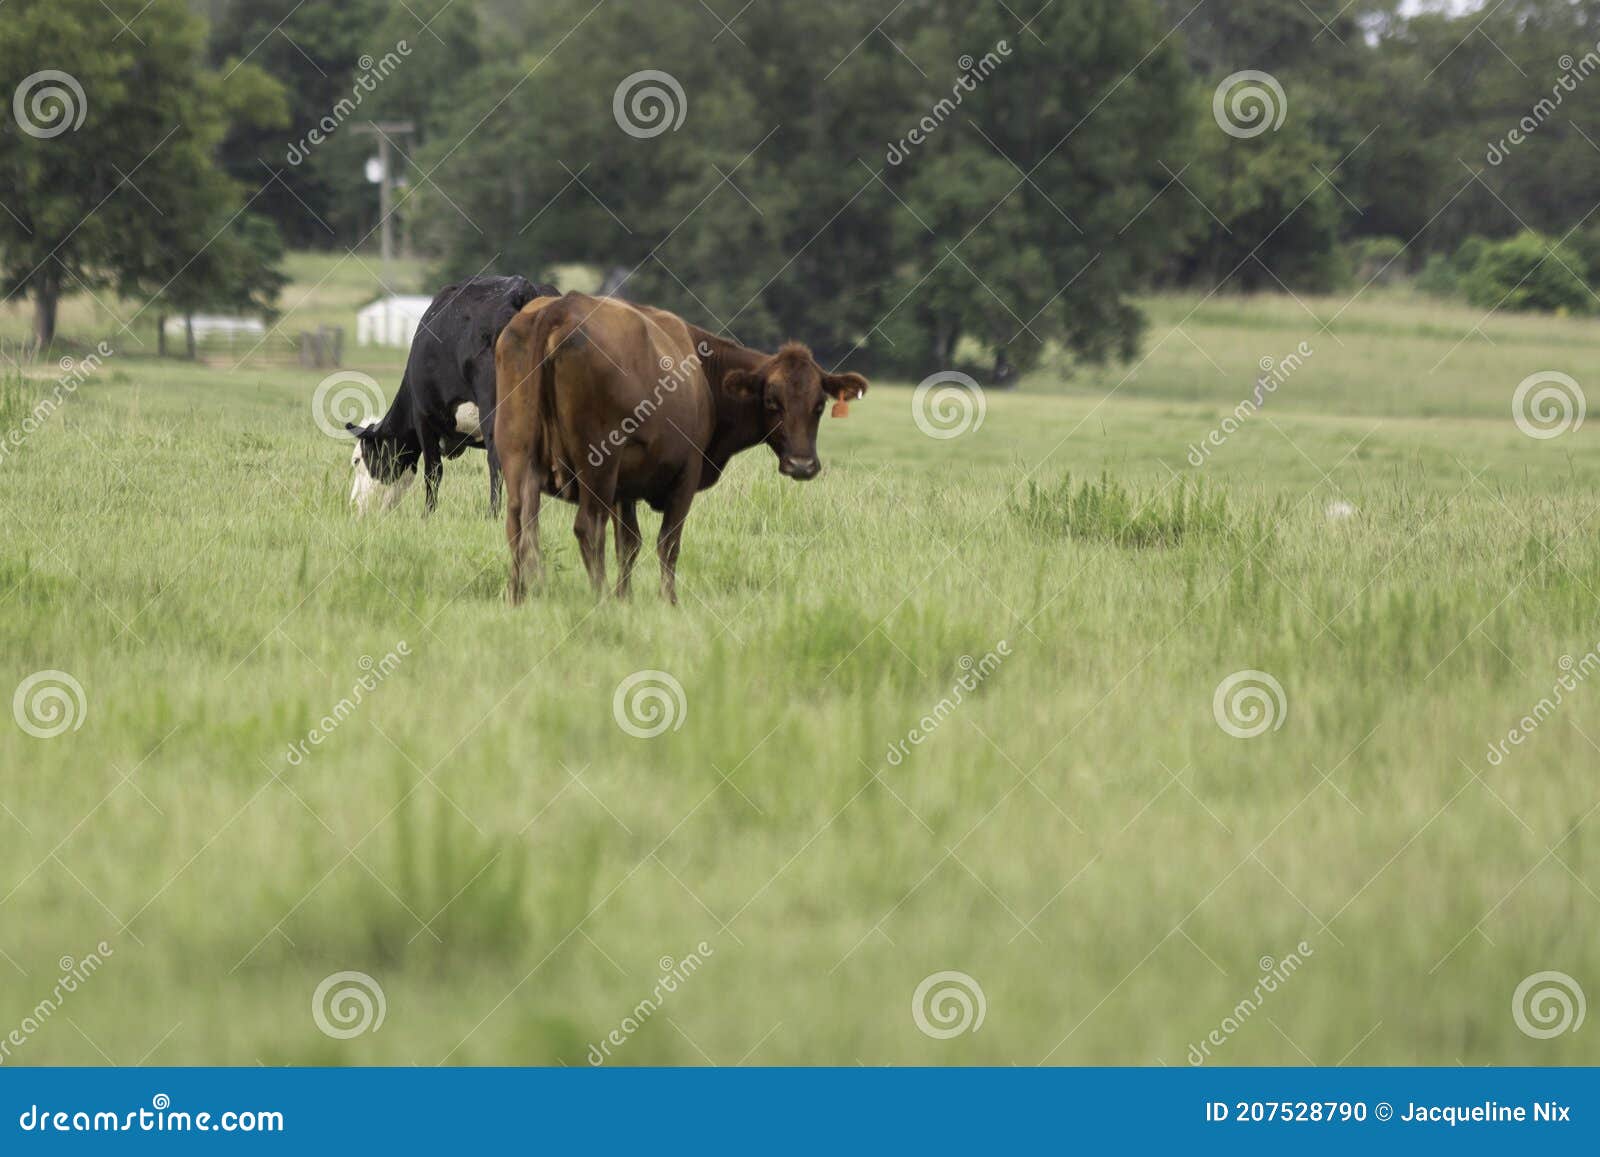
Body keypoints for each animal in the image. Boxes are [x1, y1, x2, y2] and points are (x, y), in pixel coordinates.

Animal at [346, 275, 559, 516]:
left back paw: (492, 514)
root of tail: (522, 289)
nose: (354, 507)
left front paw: (427, 514)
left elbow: (433, 471)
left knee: (496, 461)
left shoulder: (423, 418)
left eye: (356, 461)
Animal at [493, 292, 868, 604]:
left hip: (517, 457)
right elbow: (668, 543)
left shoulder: (624, 488)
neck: (705, 376)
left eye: (819, 404)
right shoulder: (685, 474)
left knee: (518, 523)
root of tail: (560, 307)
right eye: (771, 402)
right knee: (588, 527)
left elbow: (628, 543)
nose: (802, 465)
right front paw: (667, 601)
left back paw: (517, 596)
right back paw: (599, 601)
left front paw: (626, 599)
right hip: (598, 466)